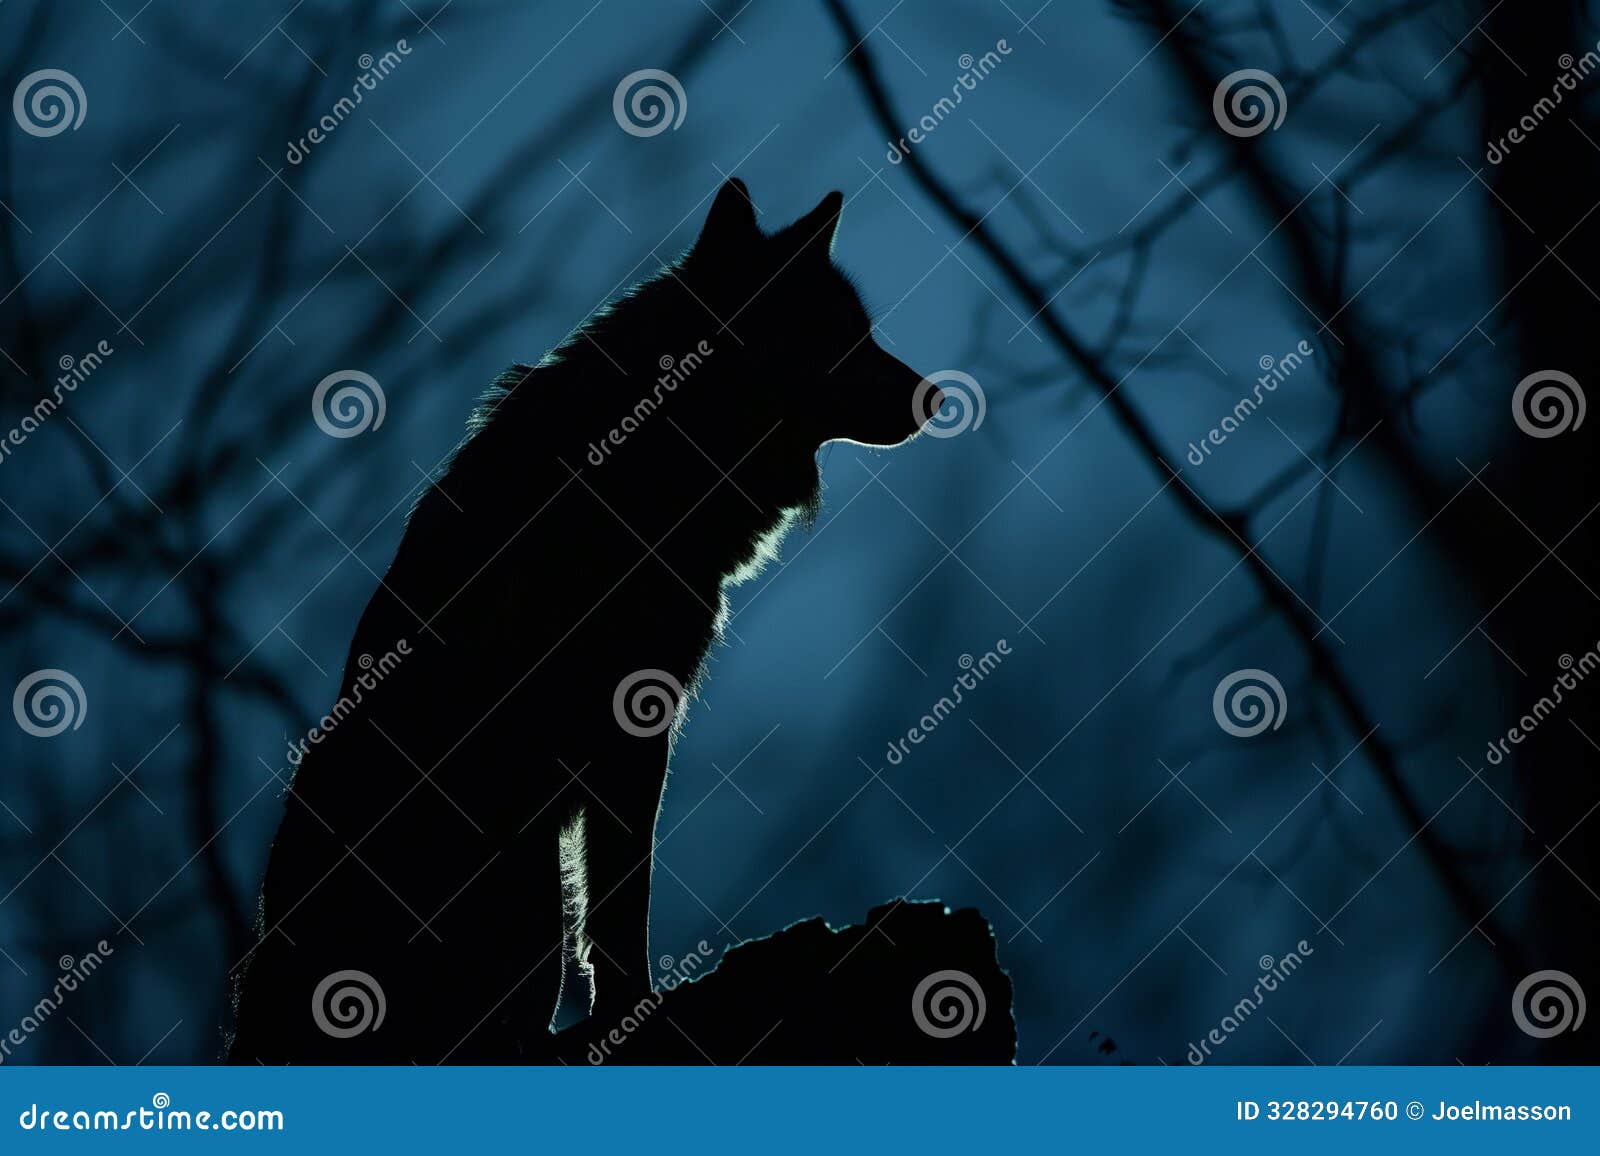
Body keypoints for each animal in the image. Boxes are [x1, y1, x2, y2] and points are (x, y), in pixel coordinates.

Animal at [228, 179, 942, 1063]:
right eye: (843, 336)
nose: (939, 396)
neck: (654, 451)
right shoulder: (632, 725)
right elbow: (618, 900)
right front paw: (633, 1010)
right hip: (512, 860)